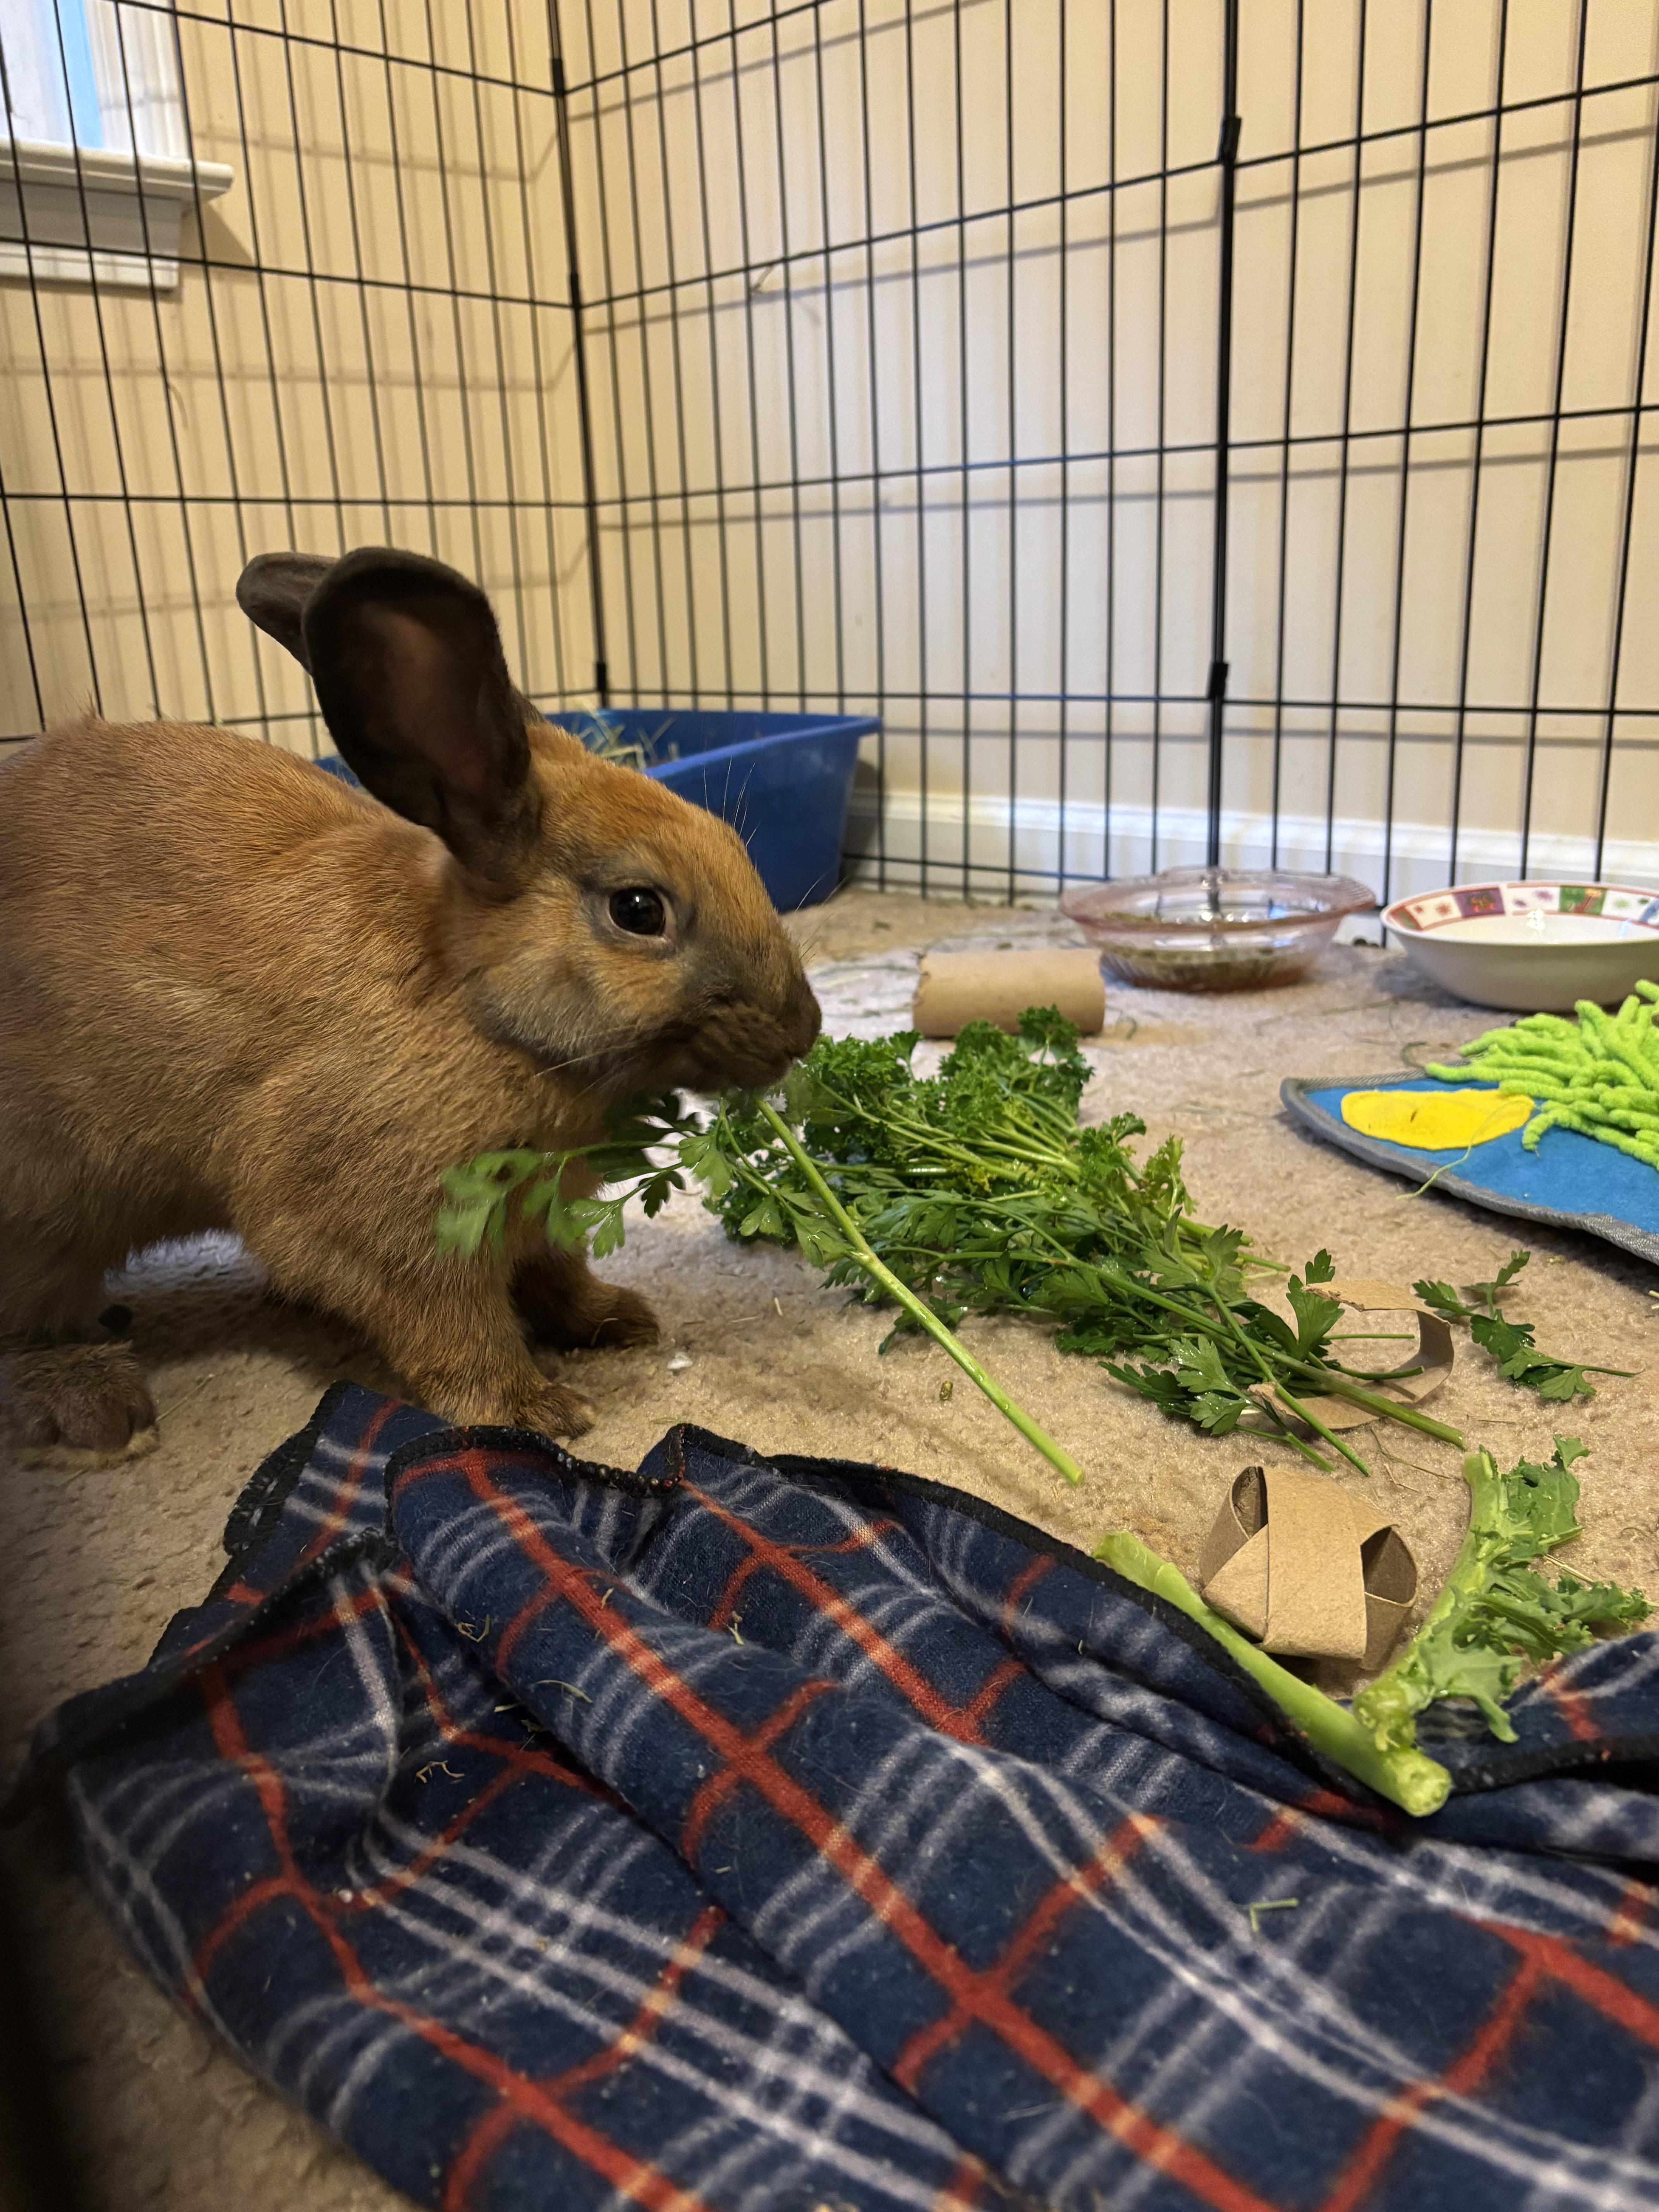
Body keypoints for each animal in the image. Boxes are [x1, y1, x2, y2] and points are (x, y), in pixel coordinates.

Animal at [0, 546, 821, 1463]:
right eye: (639, 910)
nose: (804, 1030)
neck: (478, 1004)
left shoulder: (534, 1217)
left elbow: (555, 1271)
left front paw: (614, 1320)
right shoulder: (390, 1223)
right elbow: (452, 1326)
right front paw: (535, 1408)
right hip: (45, 1209)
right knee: (27, 1322)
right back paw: (101, 1408)